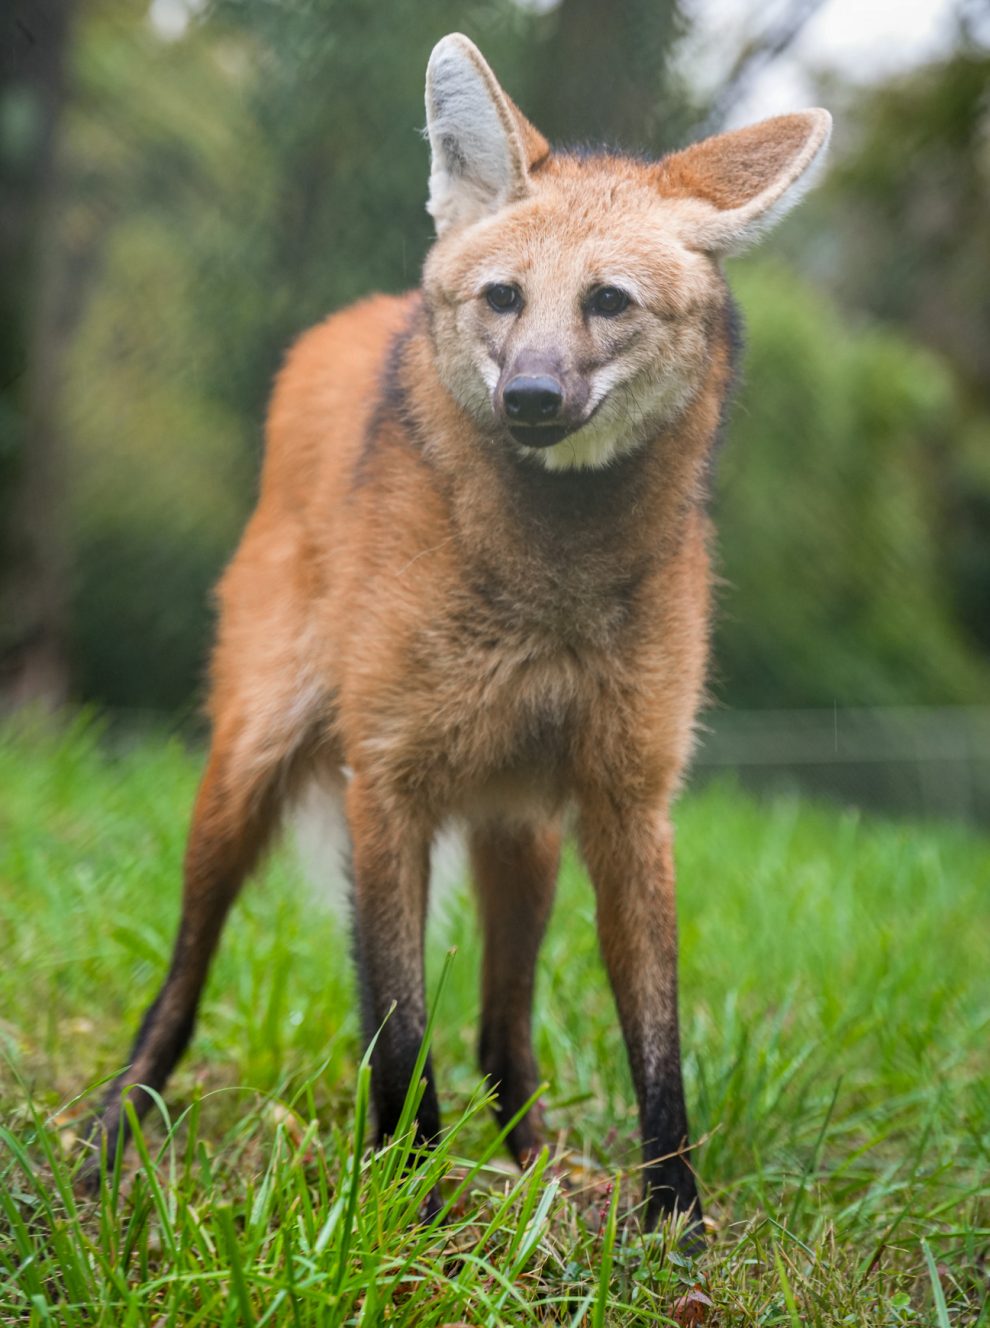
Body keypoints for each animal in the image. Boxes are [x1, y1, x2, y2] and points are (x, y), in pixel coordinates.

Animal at [84, 34, 830, 1235]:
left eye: (609, 302)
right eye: (504, 297)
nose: (530, 396)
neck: (548, 580)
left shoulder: (628, 796)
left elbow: (656, 1039)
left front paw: (673, 1221)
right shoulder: (388, 775)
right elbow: (396, 1029)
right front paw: (406, 1203)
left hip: (521, 827)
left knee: (500, 1034)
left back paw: (535, 1169)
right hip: (247, 767)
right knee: (185, 975)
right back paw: (109, 1138)